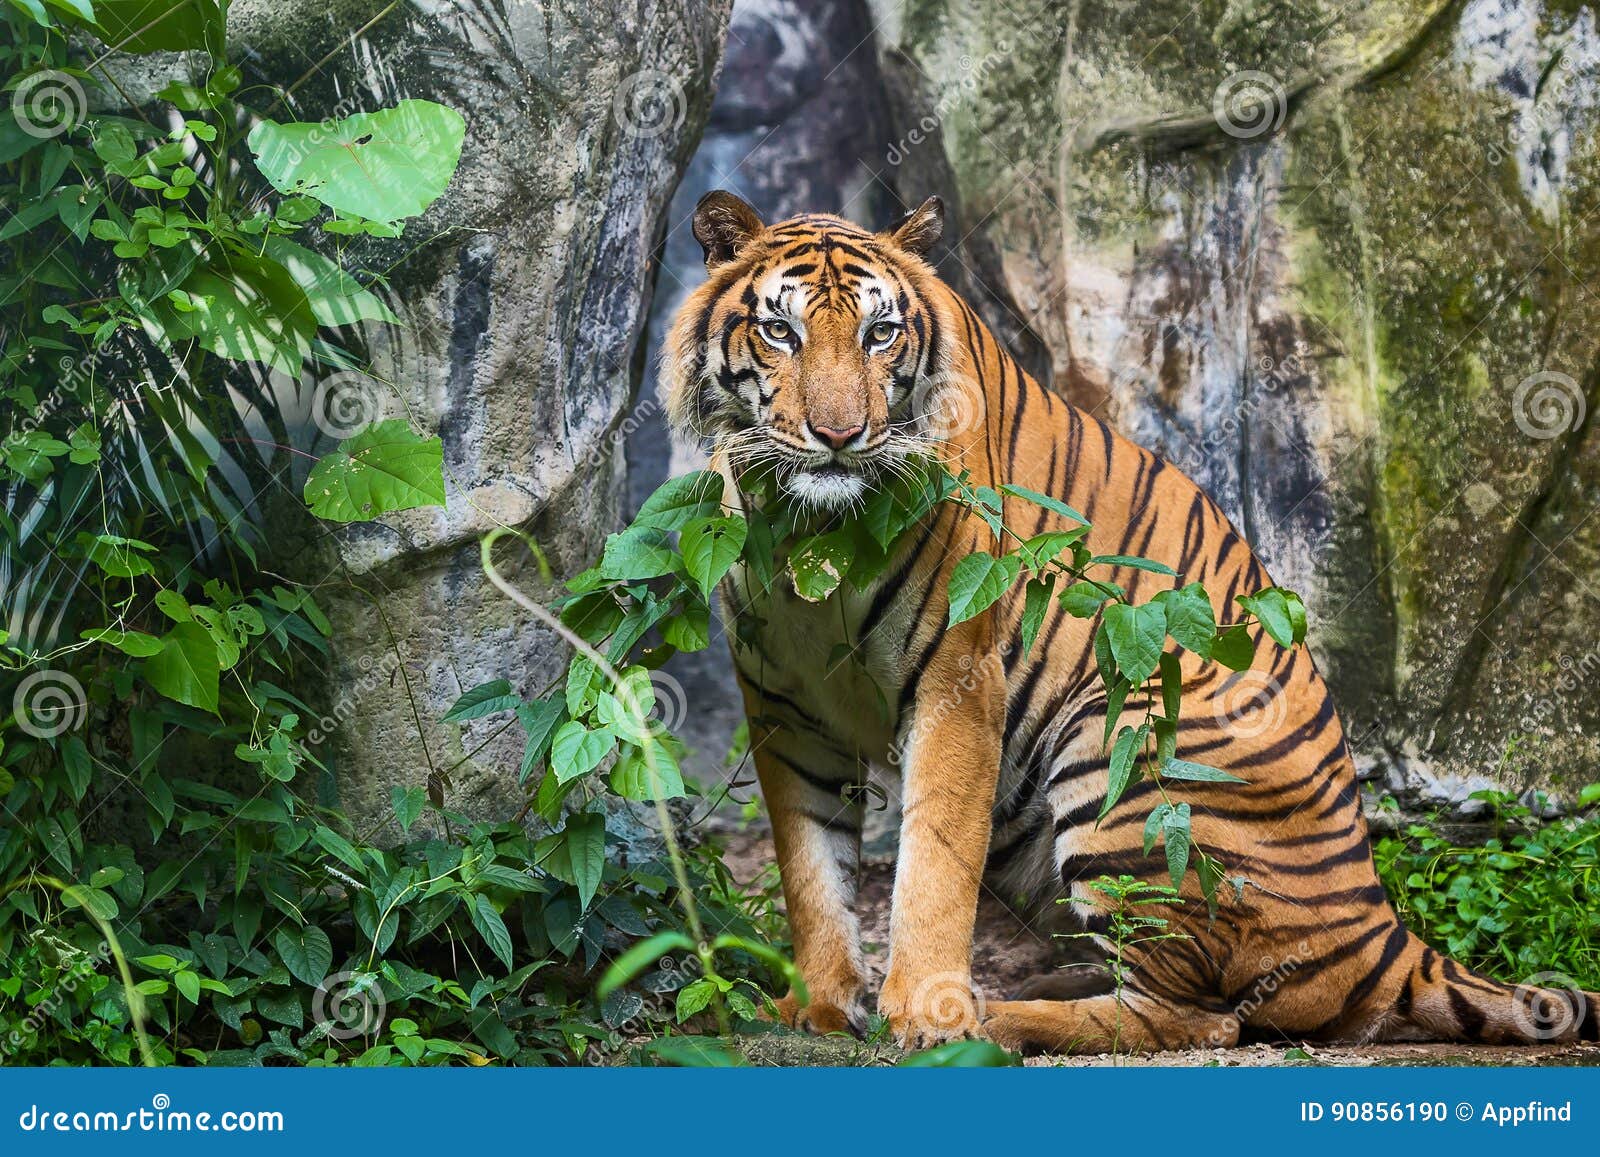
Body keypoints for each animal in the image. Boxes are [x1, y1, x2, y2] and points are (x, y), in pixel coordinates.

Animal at [660, 189, 1600, 1054]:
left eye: (880, 334)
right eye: (780, 333)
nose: (840, 435)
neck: (814, 534)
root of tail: (1379, 920)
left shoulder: (960, 680)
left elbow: (932, 858)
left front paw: (924, 1011)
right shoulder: (786, 704)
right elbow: (810, 864)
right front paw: (819, 1003)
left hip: (1121, 740)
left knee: (1190, 1017)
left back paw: (999, 1013)